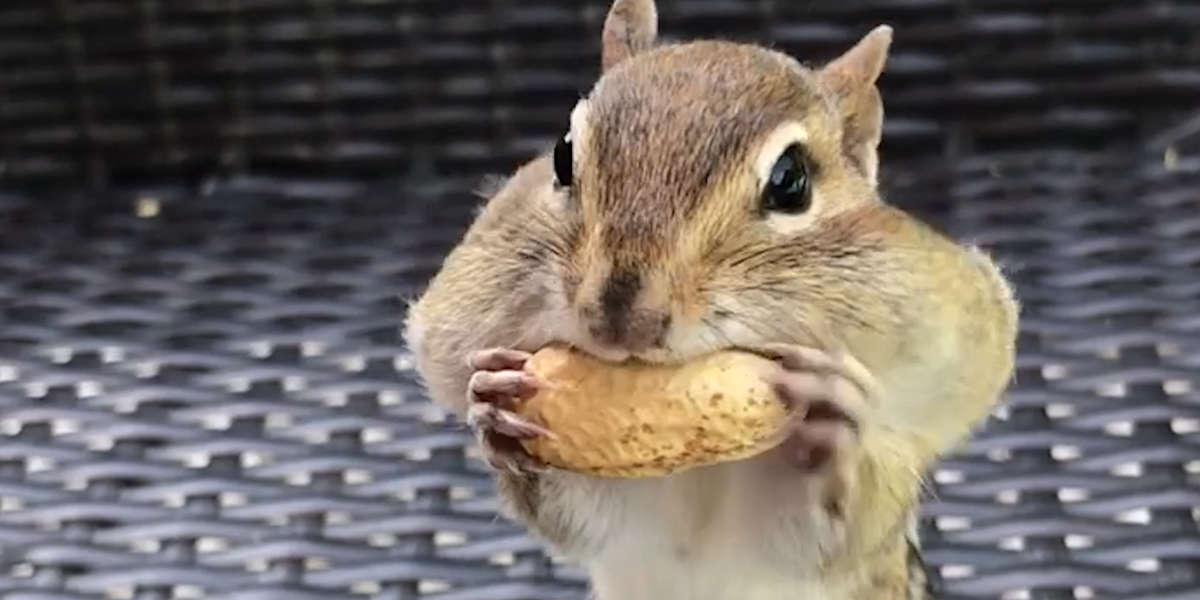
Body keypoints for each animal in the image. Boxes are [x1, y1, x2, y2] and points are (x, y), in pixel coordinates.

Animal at [404, 1, 1019, 598]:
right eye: (561, 155)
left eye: (791, 181)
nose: (623, 320)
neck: (701, 472)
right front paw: (494, 407)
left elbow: (834, 534)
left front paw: (833, 415)